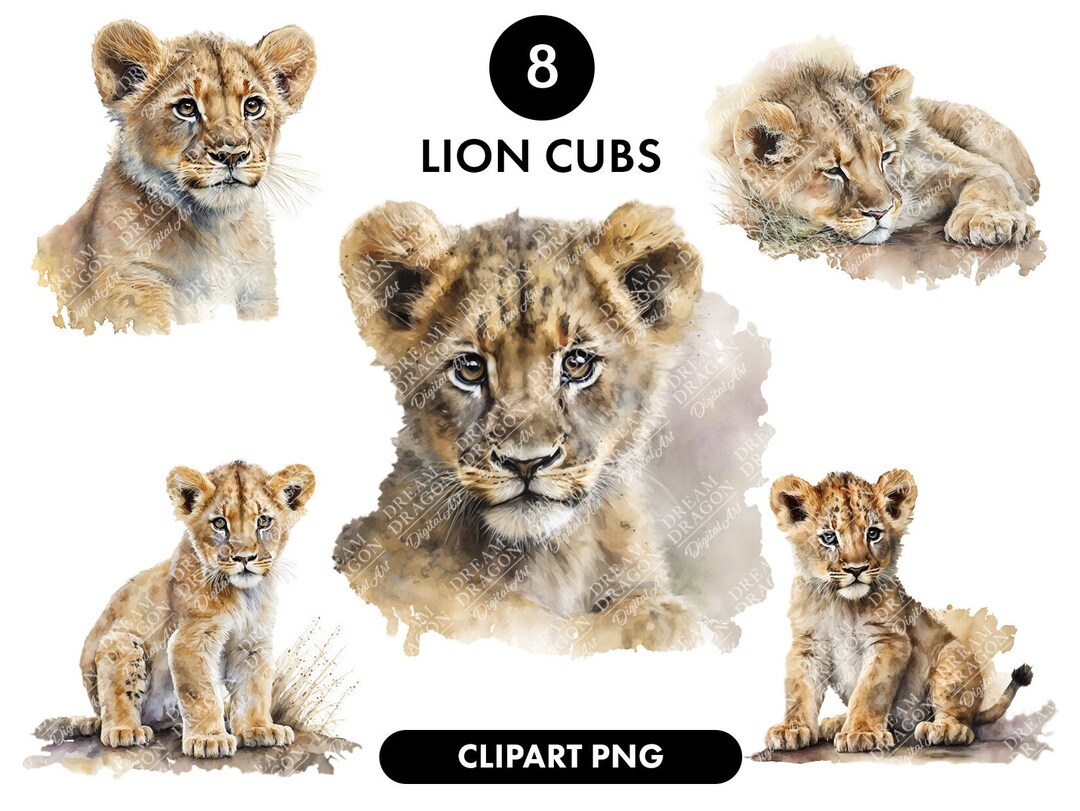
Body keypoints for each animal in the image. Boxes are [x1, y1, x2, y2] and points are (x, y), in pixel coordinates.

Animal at [32, 20, 316, 334]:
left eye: (253, 106)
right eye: (186, 108)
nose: (232, 154)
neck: (216, 229)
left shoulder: (256, 291)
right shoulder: (135, 287)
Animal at [53, 461, 315, 758]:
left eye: (263, 521)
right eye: (220, 523)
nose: (244, 558)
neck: (243, 594)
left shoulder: (253, 644)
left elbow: (255, 689)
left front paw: (259, 729)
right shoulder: (190, 639)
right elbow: (201, 693)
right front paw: (209, 739)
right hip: (120, 642)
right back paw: (124, 730)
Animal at [333, 201, 706, 655]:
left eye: (577, 363)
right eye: (469, 367)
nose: (527, 463)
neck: (556, 556)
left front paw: (650, 615)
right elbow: (526, 625)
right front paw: (648, 621)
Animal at [709, 40, 1039, 253]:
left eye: (886, 156)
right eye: (833, 171)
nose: (882, 212)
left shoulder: (947, 164)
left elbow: (992, 176)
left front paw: (987, 222)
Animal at [765, 470, 1032, 753]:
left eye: (873, 533)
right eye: (829, 537)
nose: (857, 569)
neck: (842, 603)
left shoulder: (889, 640)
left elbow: (869, 690)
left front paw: (861, 732)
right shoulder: (808, 643)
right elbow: (798, 690)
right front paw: (792, 729)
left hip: (953, 657)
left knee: (961, 719)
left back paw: (945, 729)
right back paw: (836, 722)